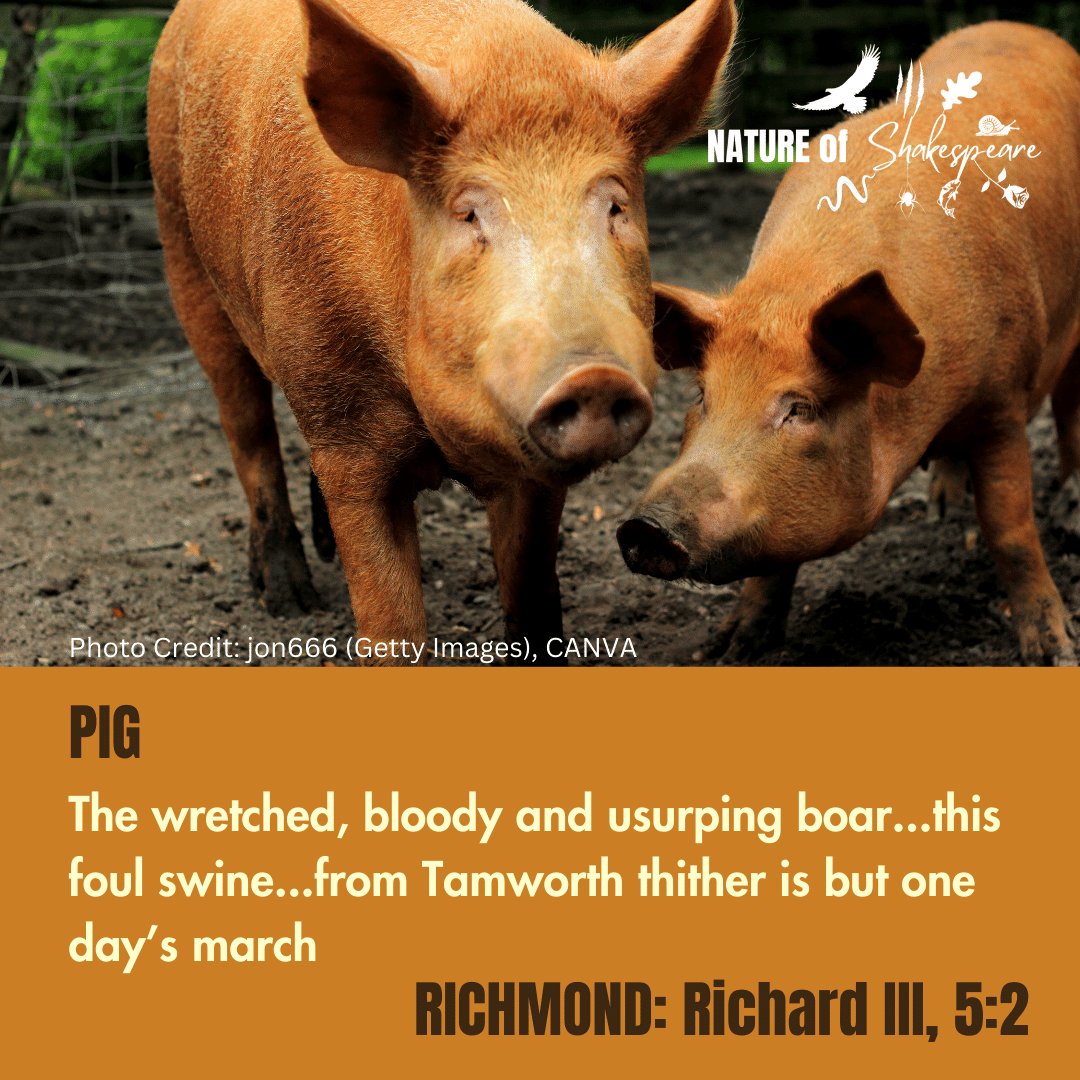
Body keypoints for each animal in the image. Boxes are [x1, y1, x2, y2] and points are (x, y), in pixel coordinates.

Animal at [147, 0, 736, 664]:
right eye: (467, 212)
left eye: (615, 206)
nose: (593, 375)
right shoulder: (346, 439)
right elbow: (391, 623)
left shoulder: (530, 469)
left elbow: (533, 599)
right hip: (181, 249)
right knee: (246, 424)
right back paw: (289, 599)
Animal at [619, 21, 1080, 665]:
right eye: (702, 396)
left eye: (800, 409)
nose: (647, 526)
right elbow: (772, 563)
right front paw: (728, 648)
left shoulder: (1002, 406)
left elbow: (1012, 532)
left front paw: (1055, 652)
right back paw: (940, 510)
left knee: (1070, 411)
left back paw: (1069, 511)